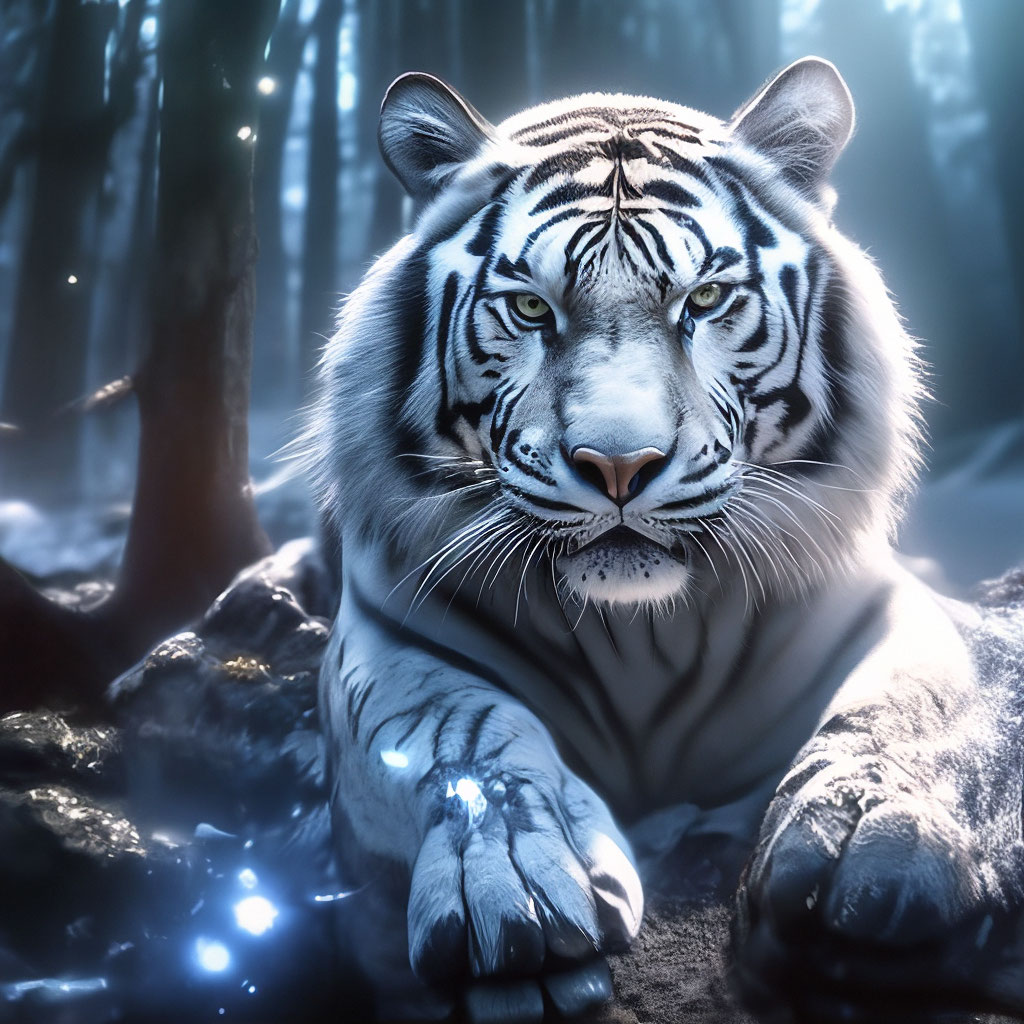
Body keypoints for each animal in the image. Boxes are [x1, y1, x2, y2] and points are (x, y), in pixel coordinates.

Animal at [306, 57, 1024, 1023]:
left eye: (705, 299)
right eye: (530, 307)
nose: (619, 465)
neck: (640, 636)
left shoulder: (894, 611)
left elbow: (905, 708)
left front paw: (869, 836)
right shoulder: (388, 645)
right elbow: (466, 735)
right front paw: (515, 894)